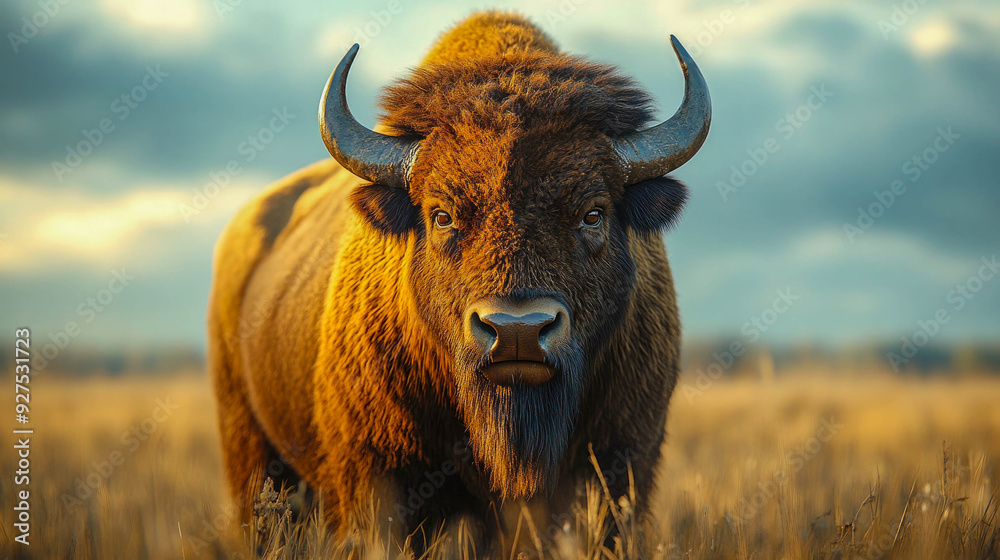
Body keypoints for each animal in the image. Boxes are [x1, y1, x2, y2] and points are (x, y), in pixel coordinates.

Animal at [208, 10, 710, 553]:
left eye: (592, 213)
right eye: (442, 214)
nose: (518, 332)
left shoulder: (618, 463)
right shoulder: (376, 476)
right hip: (254, 456)